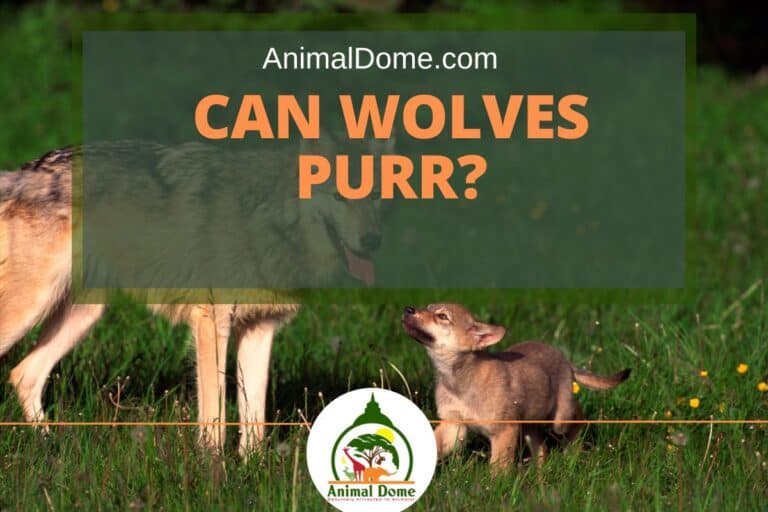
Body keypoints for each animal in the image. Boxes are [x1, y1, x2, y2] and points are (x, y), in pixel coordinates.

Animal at [0, 138, 385, 455]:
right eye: (338, 196)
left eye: (375, 195)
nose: (372, 241)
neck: (268, 219)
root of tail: (23, 171)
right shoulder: (212, 323)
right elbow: (215, 421)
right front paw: (215, 478)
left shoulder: (260, 328)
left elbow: (255, 423)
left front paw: (252, 471)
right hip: (30, 312)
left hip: (83, 316)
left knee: (24, 374)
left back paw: (51, 447)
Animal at [402, 304, 630, 471]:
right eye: (427, 307)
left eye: (442, 316)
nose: (408, 309)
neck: (457, 379)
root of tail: (566, 360)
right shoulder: (453, 425)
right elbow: (434, 444)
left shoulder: (504, 430)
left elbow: (498, 467)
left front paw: (495, 491)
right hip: (530, 423)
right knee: (541, 447)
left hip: (560, 420)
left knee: (576, 417)